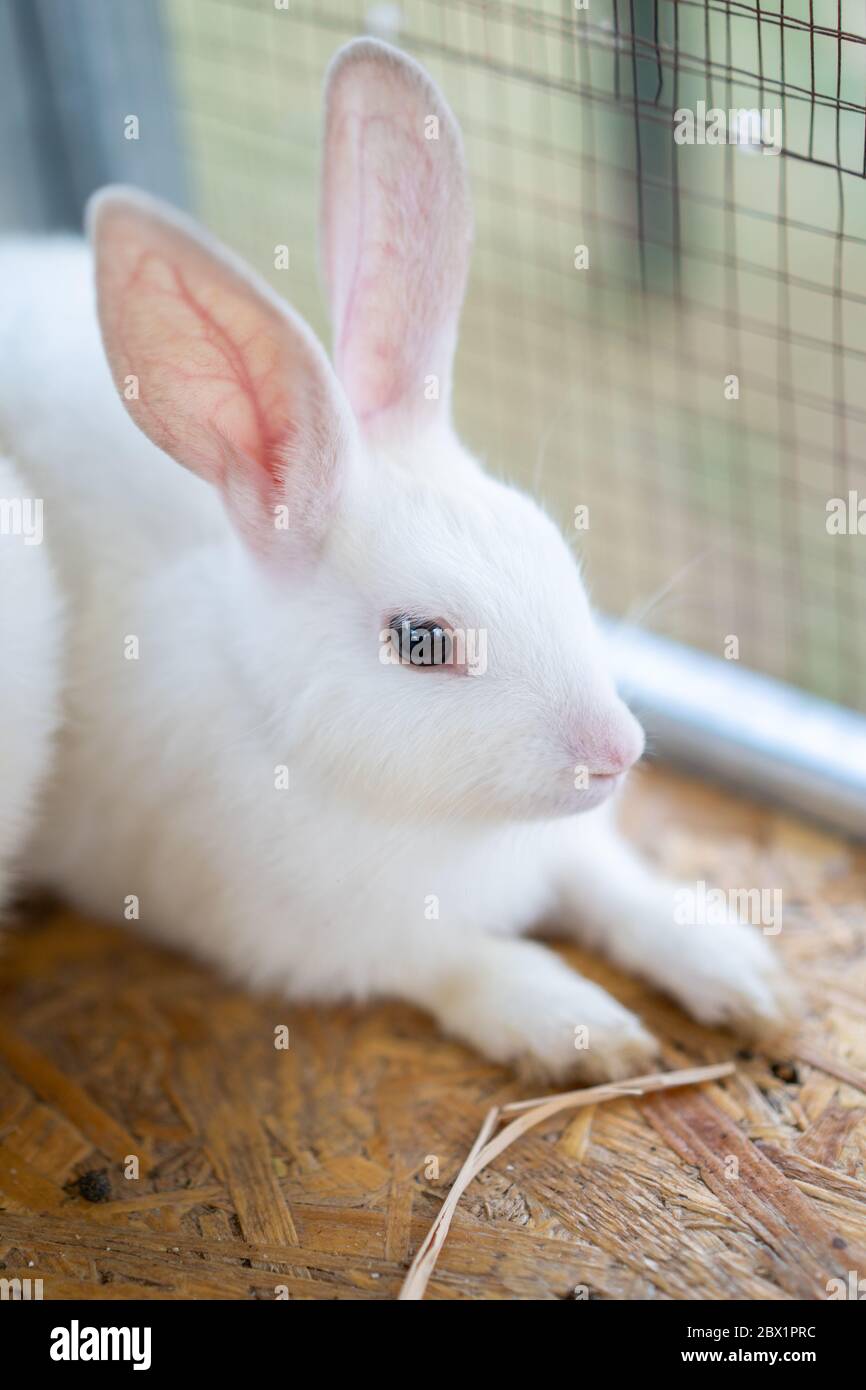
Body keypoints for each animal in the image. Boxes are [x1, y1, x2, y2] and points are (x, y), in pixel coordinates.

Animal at [0, 38, 792, 1081]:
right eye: (420, 642)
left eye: (554, 546)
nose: (617, 754)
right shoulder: (318, 937)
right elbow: (459, 959)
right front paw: (589, 1032)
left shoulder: (573, 853)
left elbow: (618, 890)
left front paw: (745, 975)